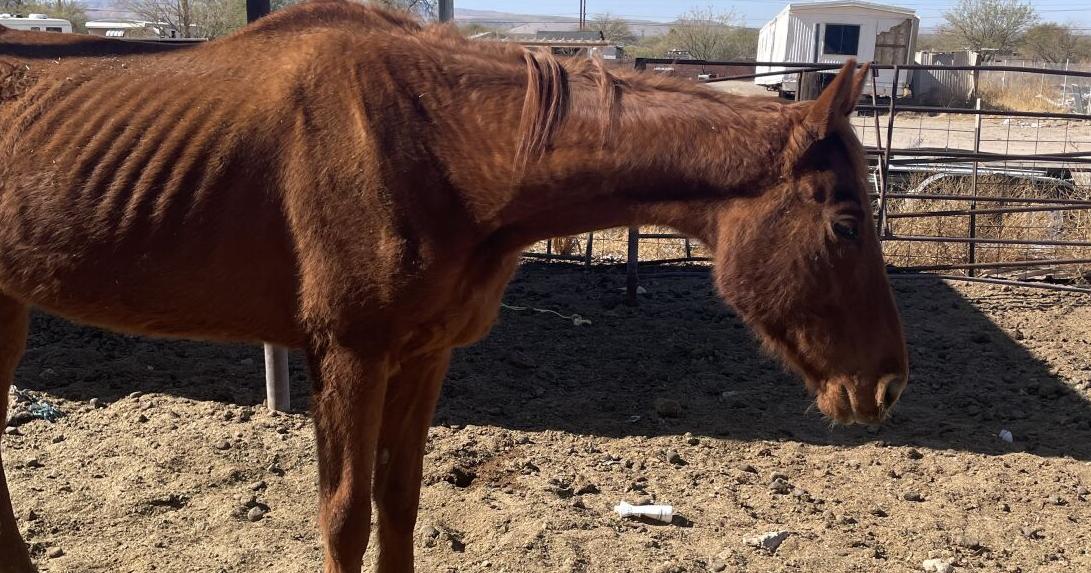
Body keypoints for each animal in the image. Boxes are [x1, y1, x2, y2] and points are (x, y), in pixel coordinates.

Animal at [0, 1, 908, 571]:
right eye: (844, 225)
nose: (888, 384)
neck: (441, 141)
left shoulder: (423, 357)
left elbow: (399, 504)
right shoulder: (349, 358)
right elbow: (346, 517)